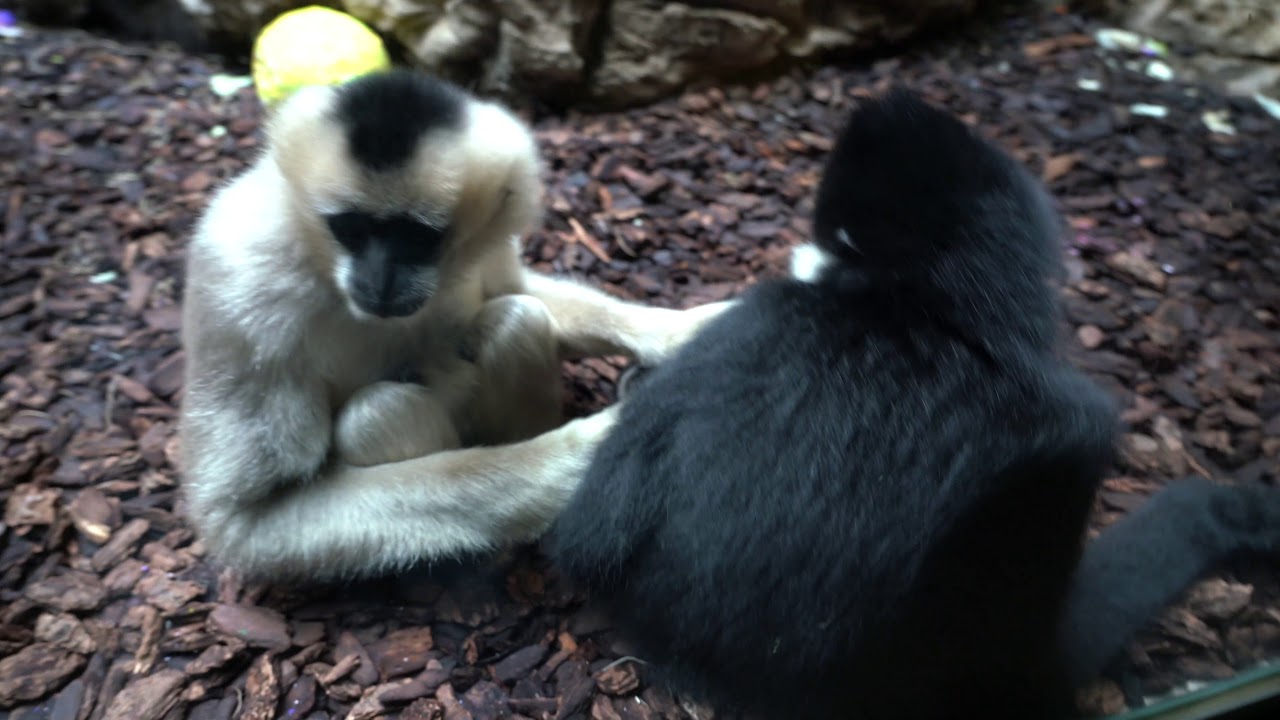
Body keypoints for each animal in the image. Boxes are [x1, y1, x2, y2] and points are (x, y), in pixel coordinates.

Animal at [177, 69, 728, 583]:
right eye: (351, 229)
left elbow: (515, 291)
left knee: (515, 318)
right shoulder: (239, 282)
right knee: (379, 411)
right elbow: (250, 518)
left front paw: (677, 332)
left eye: (416, 237)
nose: (378, 278)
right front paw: (589, 452)